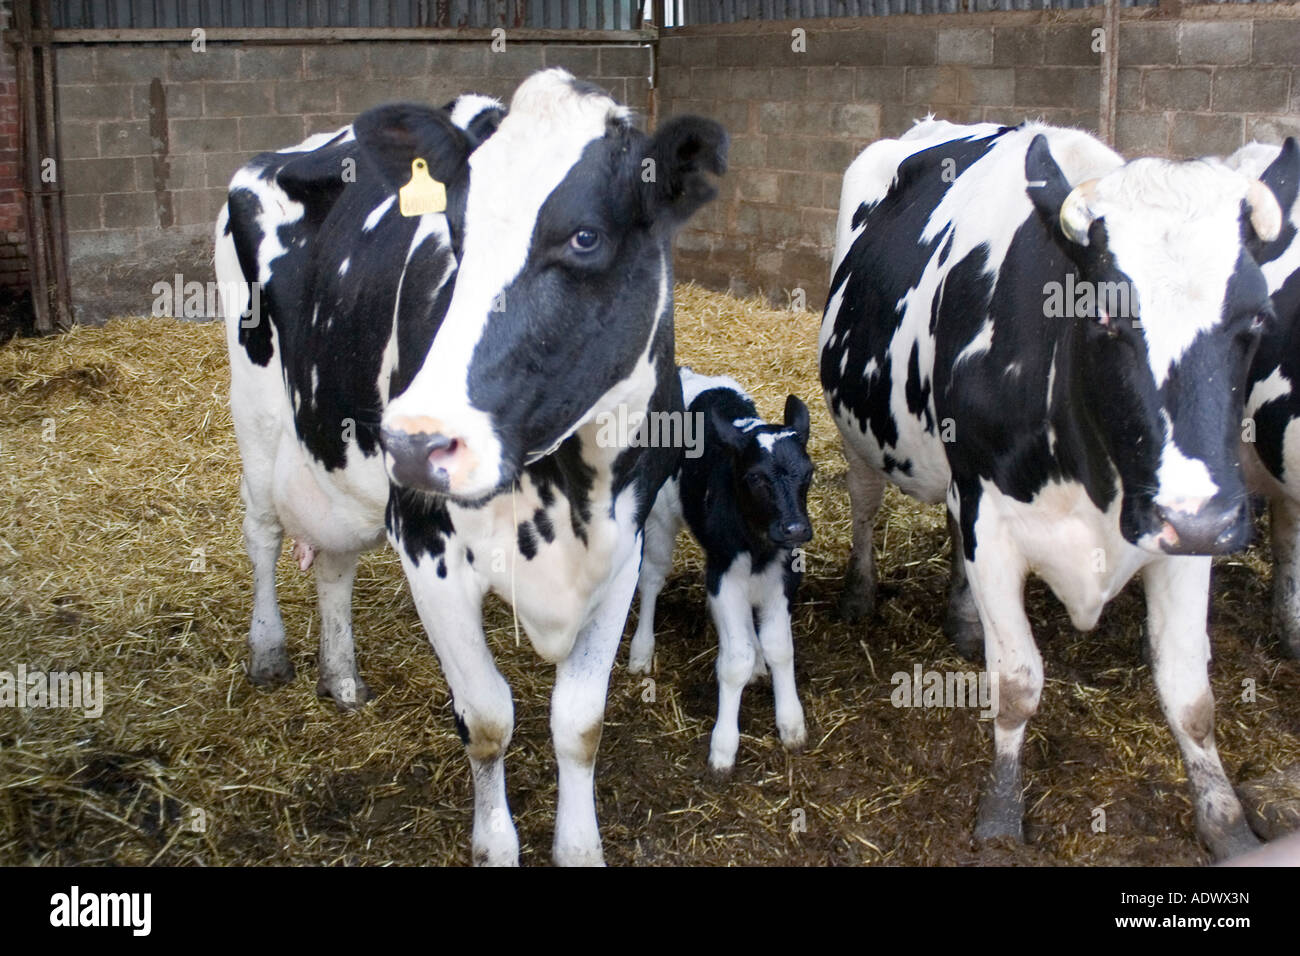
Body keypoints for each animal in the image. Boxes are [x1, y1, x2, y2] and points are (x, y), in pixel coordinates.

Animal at [215, 68, 727, 866]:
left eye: (585, 236)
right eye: (452, 234)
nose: (415, 444)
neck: (569, 487)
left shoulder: (624, 545)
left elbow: (579, 723)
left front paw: (579, 846)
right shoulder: (426, 544)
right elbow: (487, 719)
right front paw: (495, 844)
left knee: (335, 562)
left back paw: (342, 675)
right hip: (259, 416)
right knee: (263, 532)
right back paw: (269, 649)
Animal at [628, 368, 814, 775]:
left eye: (808, 473)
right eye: (756, 477)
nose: (795, 528)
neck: (757, 545)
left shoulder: (782, 577)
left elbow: (780, 648)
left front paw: (791, 722)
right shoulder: (725, 574)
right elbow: (734, 661)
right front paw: (724, 746)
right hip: (661, 518)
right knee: (651, 581)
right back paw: (641, 650)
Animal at [820, 118, 1296, 859]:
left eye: (1255, 323)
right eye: (1104, 318)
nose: (1203, 521)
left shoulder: (1184, 531)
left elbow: (1190, 692)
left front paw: (1224, 820)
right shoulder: (992, 521)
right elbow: (1018, 682)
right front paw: (1001, 812)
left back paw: (963, 618)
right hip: (860, 430)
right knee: (865, 507)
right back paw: (860, 593)